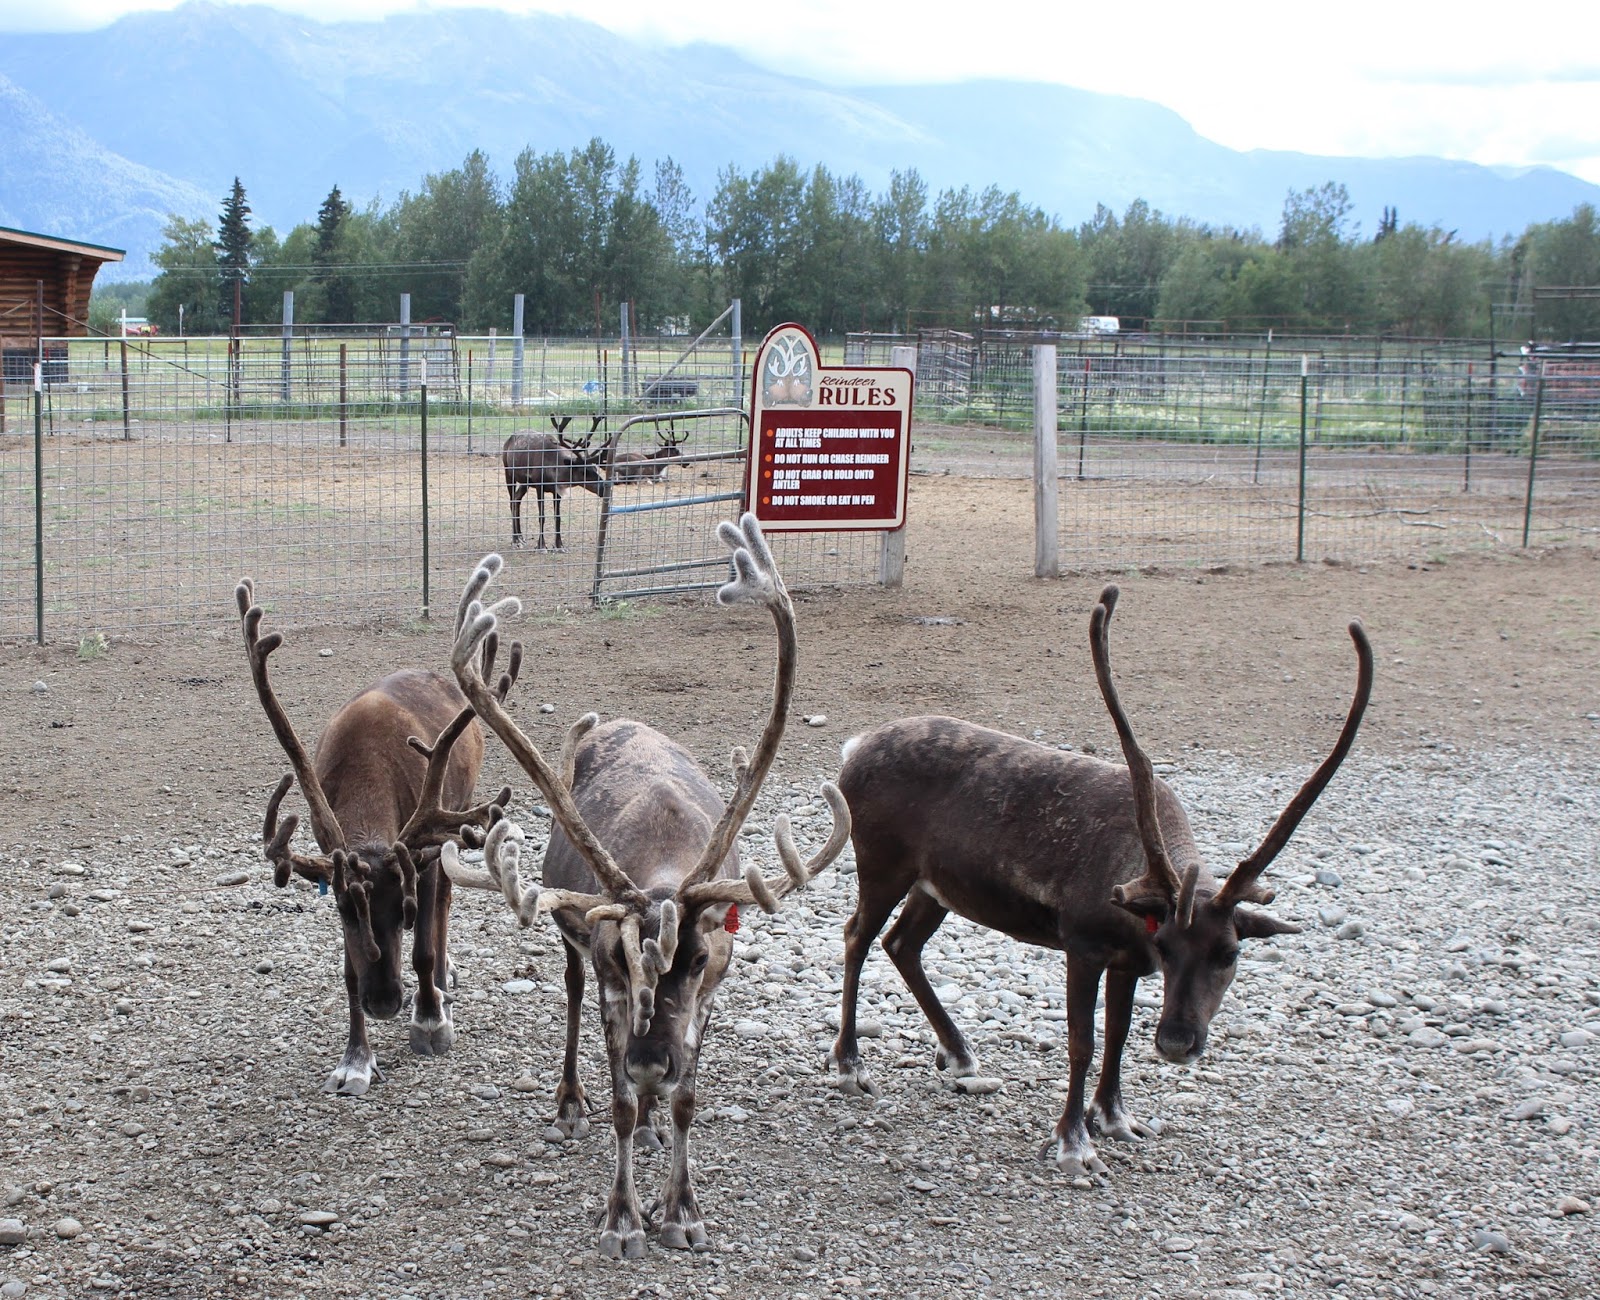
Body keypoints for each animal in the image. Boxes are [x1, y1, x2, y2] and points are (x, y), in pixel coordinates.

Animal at [236, 577, 520, 1095]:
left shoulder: (420, 857)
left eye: (403, 914)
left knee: (445, 901)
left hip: (455, 815)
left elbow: (423, 948)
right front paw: (355, 1059)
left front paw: (429, 1020)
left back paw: (442, 982)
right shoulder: (336, 866)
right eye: (347, 912)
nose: (385, 1001)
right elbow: (349, 973)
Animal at [440, 515, 851, 1259]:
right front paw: (624, 1219)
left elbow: (688, 1100)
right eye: (620, 957)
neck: (663, 864)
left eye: (696, 956)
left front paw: (682, 1209)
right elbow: (621, 1108)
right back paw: (572, 1102)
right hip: (571, 951)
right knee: (571, 1003)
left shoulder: (712, 989)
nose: (650, 1060)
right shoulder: (608, 983)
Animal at [502, 415, 607, 550]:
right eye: (583, 471)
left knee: (516, 499)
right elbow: (542, 516)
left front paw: (559, 545)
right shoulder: (539, 486)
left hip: (525, 483)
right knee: (511, 501)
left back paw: (521, 536)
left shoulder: (557, 491)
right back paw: (515, 539)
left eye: (595, 468)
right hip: (508, 472)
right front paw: (541, 546)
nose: (604, 487)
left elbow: (558, 517)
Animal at [829, 583, 1372, 1182]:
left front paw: (1115, 1118)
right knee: (857, 935)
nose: (1177, 1041)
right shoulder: (1083, 945)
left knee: (901, 943)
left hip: (936, 888)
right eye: (1168, 943)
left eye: (1230, 953)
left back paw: (961, 1054)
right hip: (882, 864)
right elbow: (1082, 1042)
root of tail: (853, 748)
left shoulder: (1127, 961)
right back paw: (850, 1065)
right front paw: (1073, 1142)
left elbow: (1118, 1036)